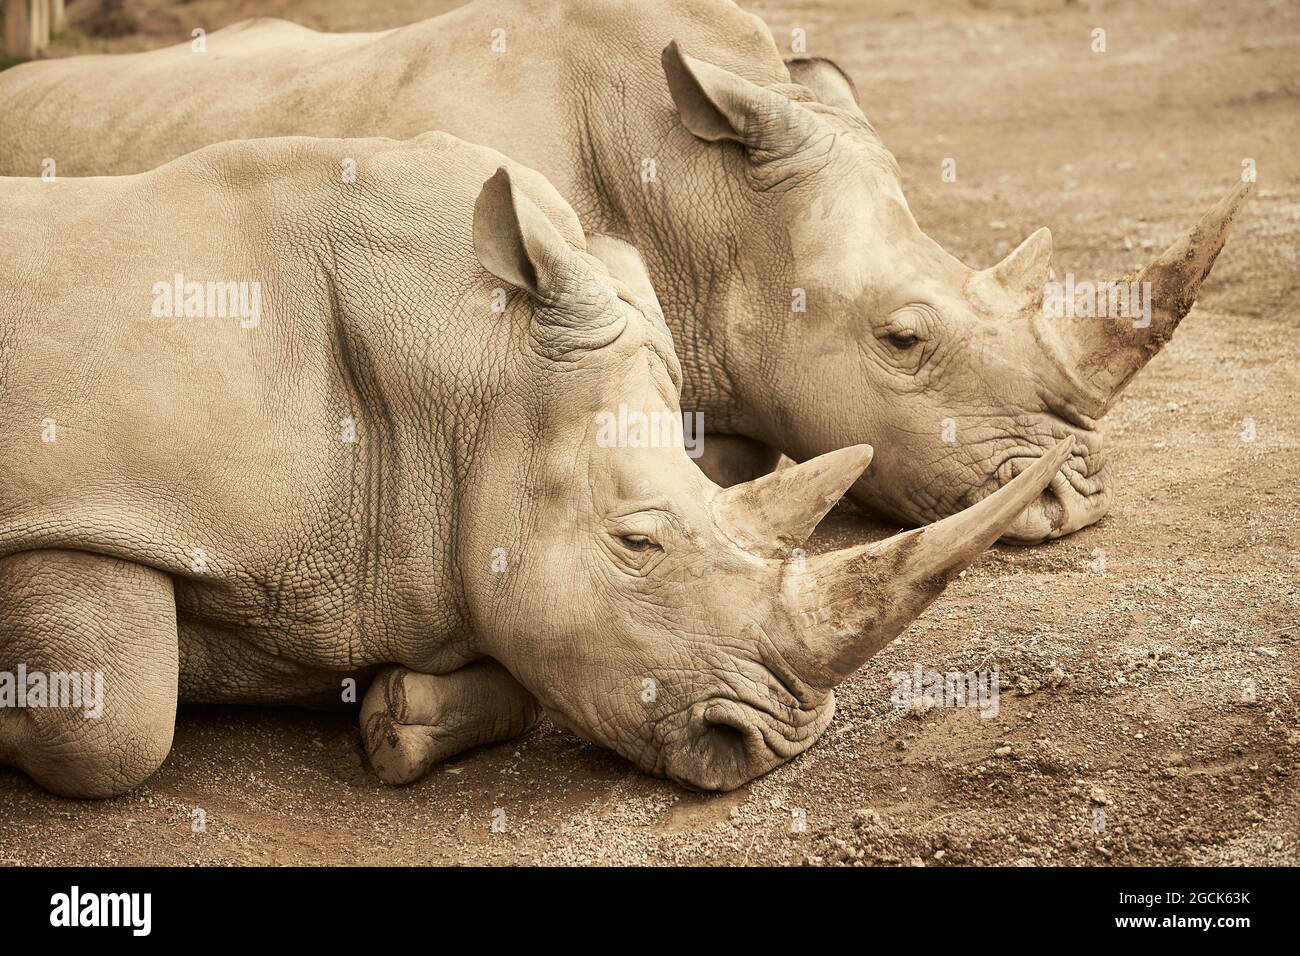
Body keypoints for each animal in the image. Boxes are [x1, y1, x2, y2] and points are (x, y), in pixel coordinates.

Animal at [0, 131, 1072, 797]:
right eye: (636, 542)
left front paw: (391, 715)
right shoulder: (86, 507)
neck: (463, 375)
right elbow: (116, 722)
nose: (774, 749)